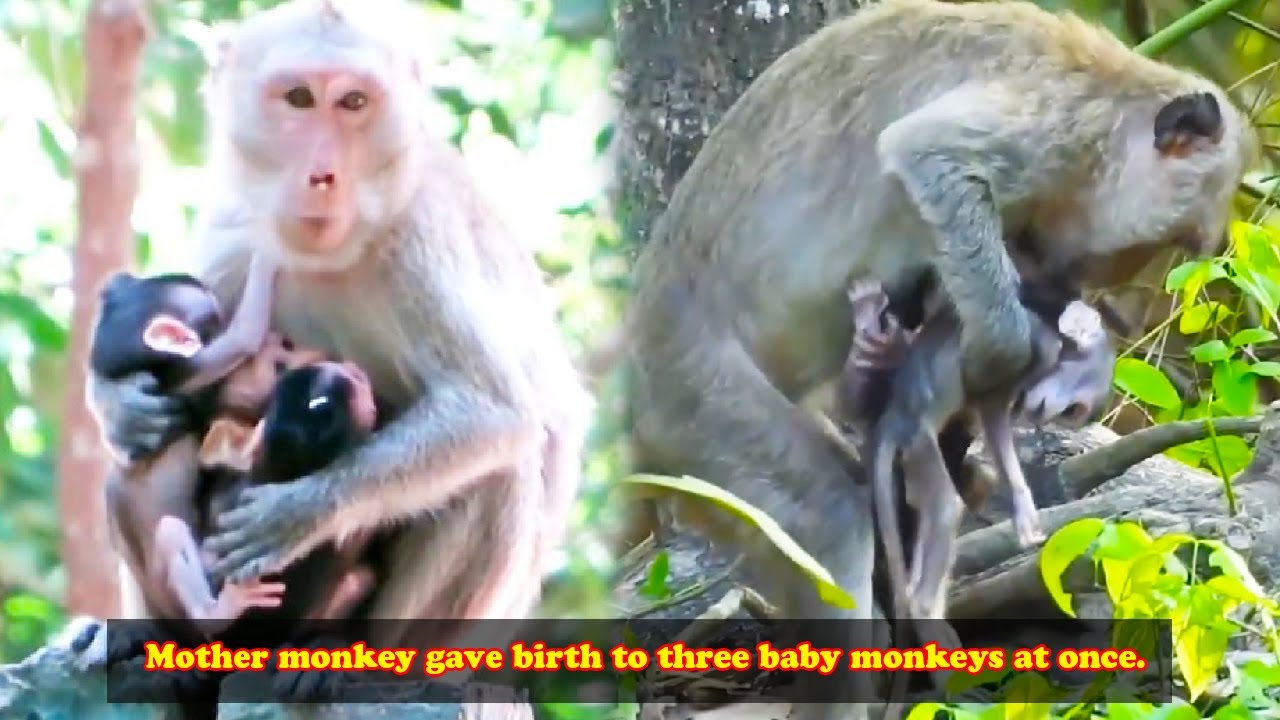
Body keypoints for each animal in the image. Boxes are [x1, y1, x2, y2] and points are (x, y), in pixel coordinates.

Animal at [87, 0, 593, 678]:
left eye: (353, 102)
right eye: (299, 98)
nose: (322, 175)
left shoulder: (420, 233)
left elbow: (495, 411)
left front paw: (302, 510)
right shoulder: (233, 224)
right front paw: (123, 407)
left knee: (500, 470)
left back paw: (362, 655)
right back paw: (141, 636)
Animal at [624, 2, 1254, 716]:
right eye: (1163, 241)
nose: (1069, 291)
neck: (1112, 102)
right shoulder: (1056, 127)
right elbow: (931, 154)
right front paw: (996, 358)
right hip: (694, 399)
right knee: (830, 514)